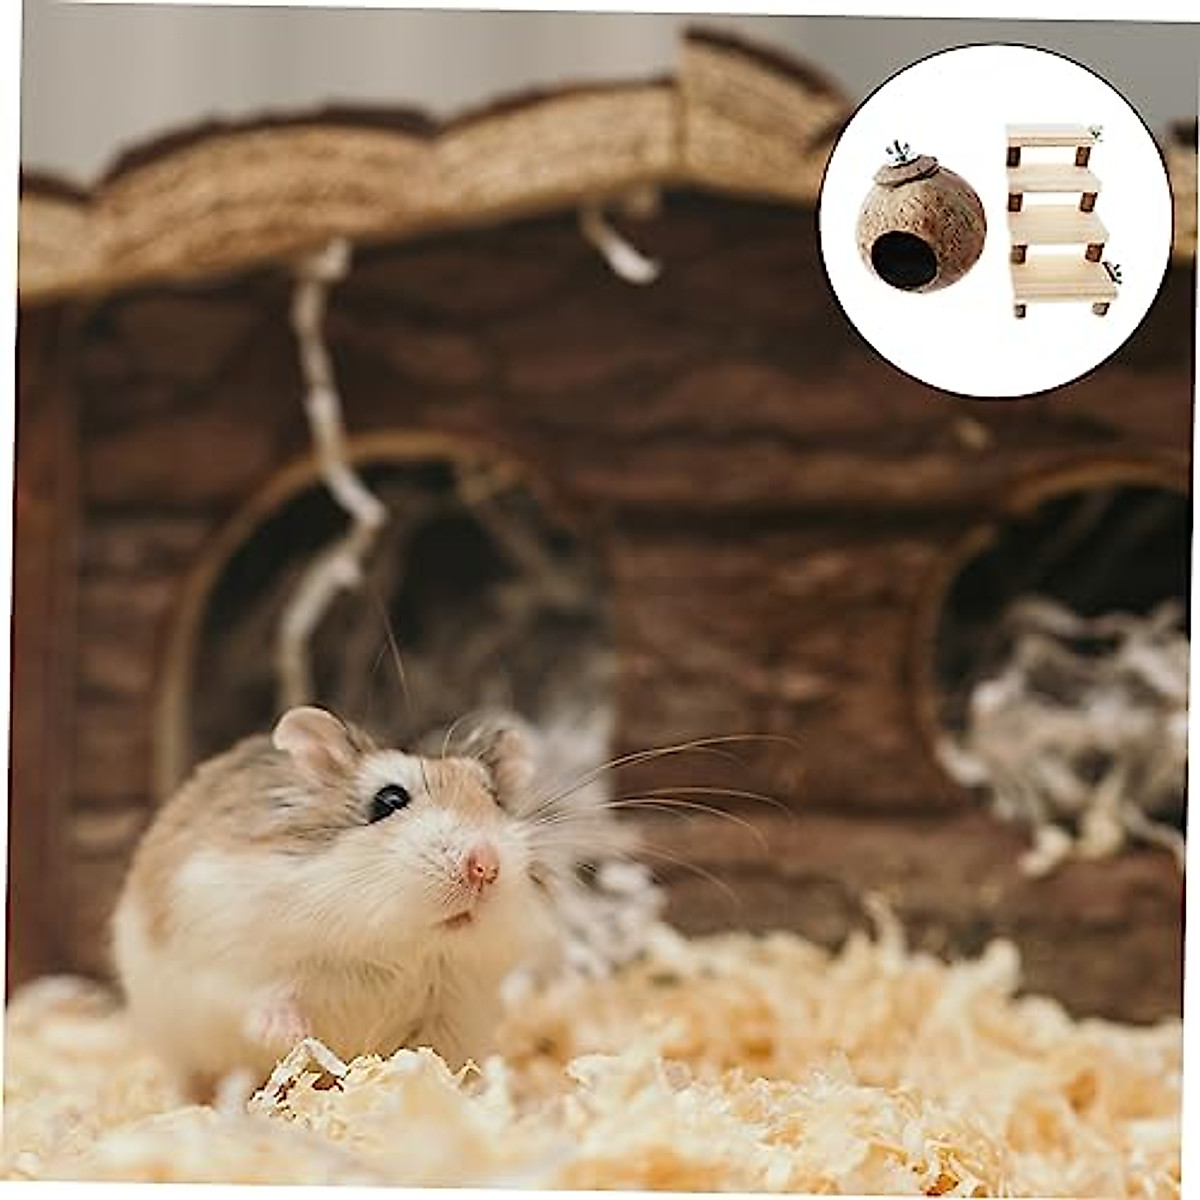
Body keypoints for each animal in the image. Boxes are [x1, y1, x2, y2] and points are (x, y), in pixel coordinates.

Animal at [111, 706, 564, 1100]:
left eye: (496, 800)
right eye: (390, 800)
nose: (485, 865)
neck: (396, 947)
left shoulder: (452, 1014)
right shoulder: (227, 961)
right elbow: (261, 999)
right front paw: (293, 1035)